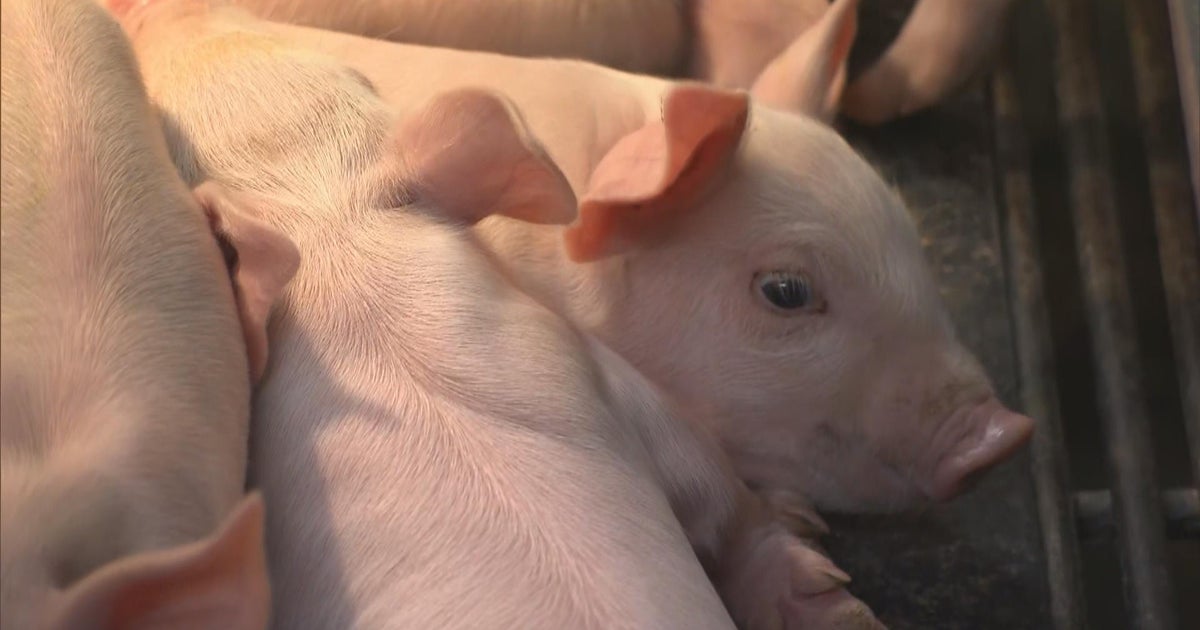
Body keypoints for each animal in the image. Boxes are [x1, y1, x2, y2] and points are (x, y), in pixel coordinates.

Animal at [111, 0, 883, 627]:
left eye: (355, 74)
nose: (146, 8)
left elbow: (719, 488)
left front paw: (830, 578)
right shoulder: (597, 381)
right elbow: (708, 483)